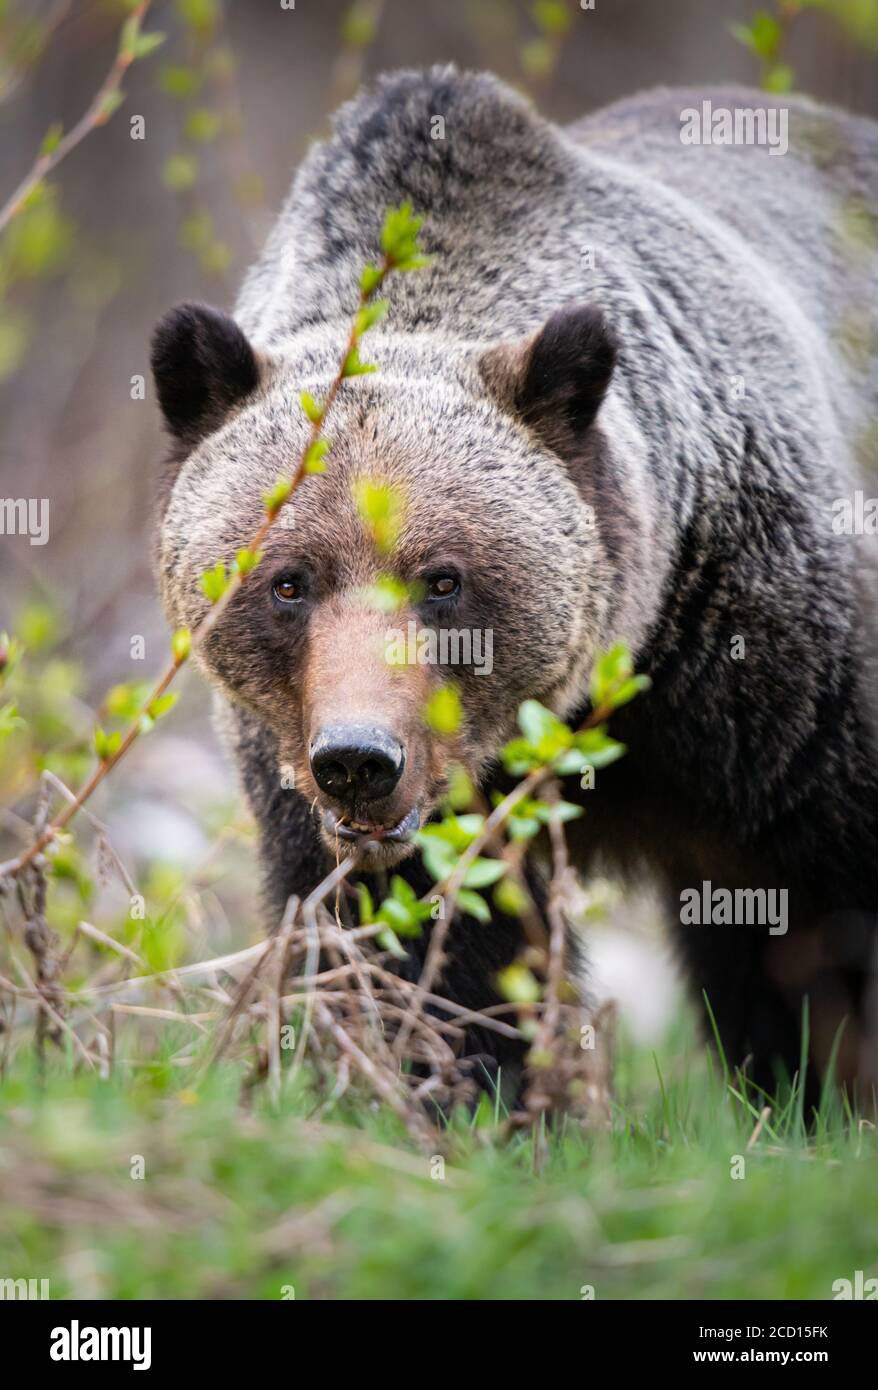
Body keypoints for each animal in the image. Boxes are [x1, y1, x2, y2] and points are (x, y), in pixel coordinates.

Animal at [151, 67, 878, 1107]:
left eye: (442, 579)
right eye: (288, 581)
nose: (358, 758)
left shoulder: (773, 683)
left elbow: (820, 909)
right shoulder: (328, 784)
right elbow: (428, 948)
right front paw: (463, 1091)